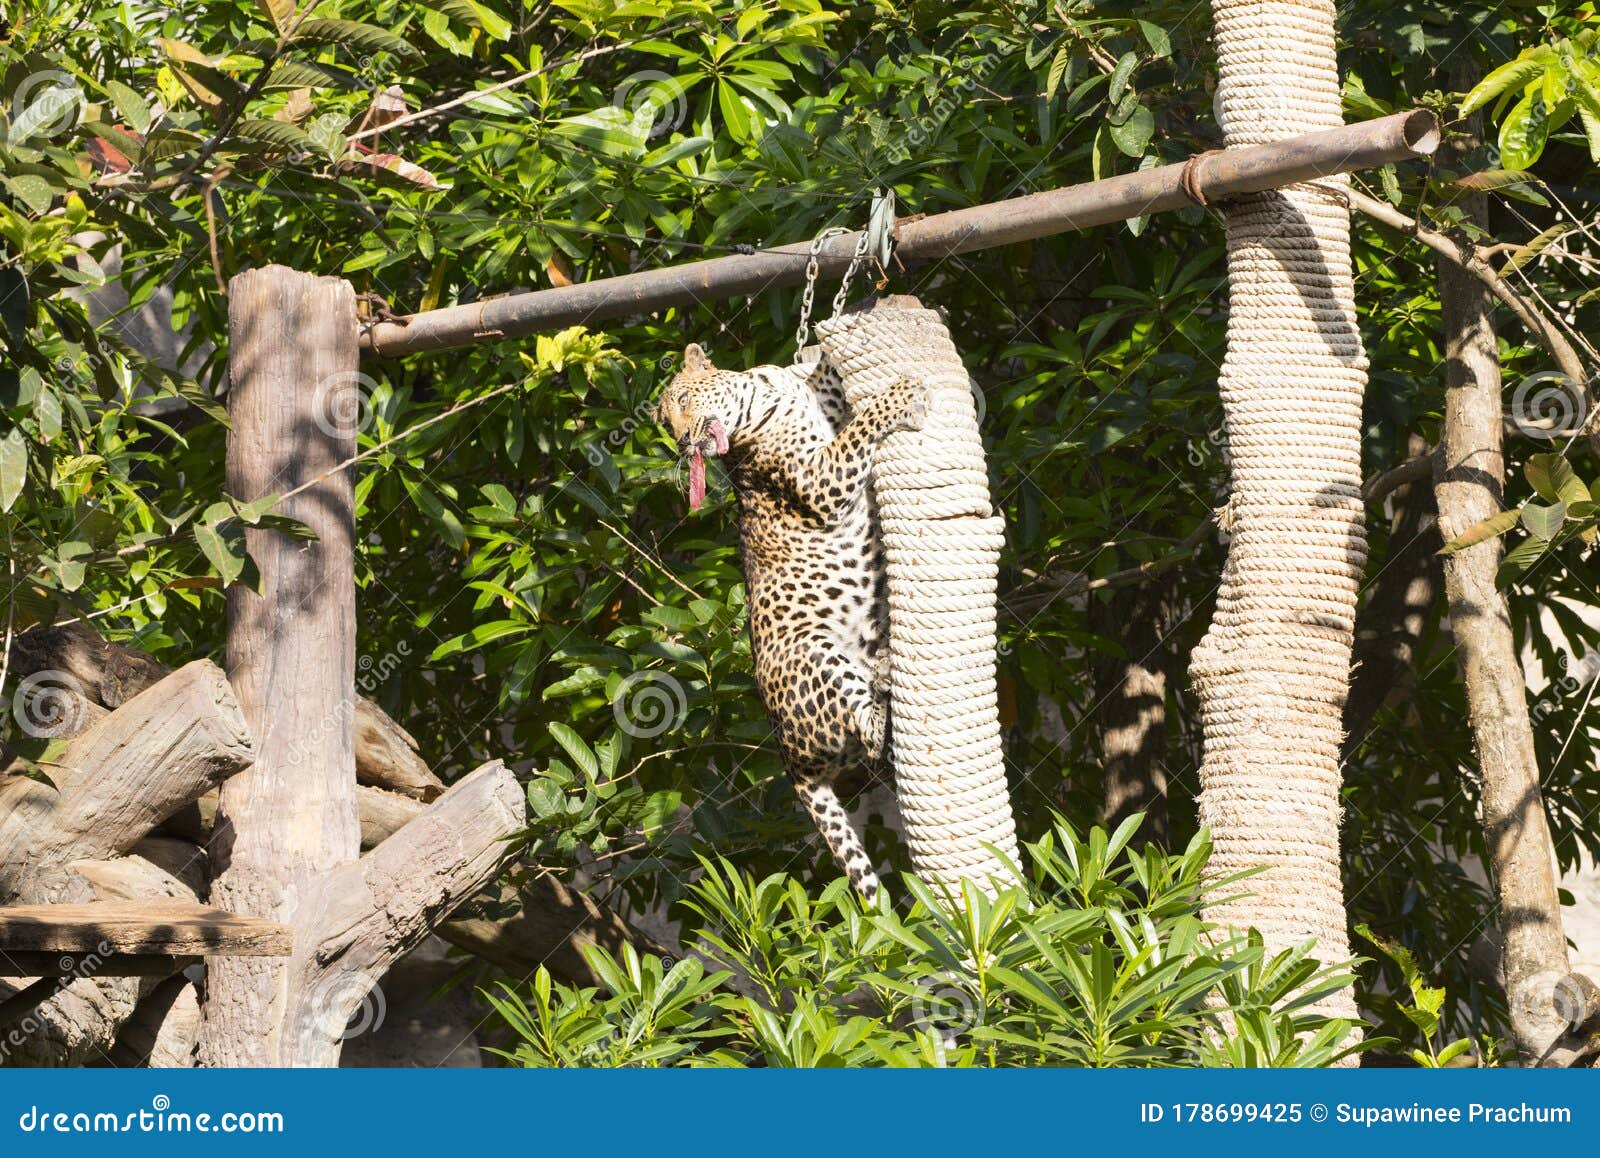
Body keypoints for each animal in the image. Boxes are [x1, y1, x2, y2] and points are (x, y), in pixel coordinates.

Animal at [655, 343, 931, 899]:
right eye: (666, 420)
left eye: (680, 402)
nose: (681, 441)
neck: (758, 396)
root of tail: (788, 758)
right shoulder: (822, 479)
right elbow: (861, 426)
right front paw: (899, 395)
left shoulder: (818, 403)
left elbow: (827, 383)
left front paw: (823, 346)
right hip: (814, 652)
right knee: (870, 738)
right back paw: (884, 682)